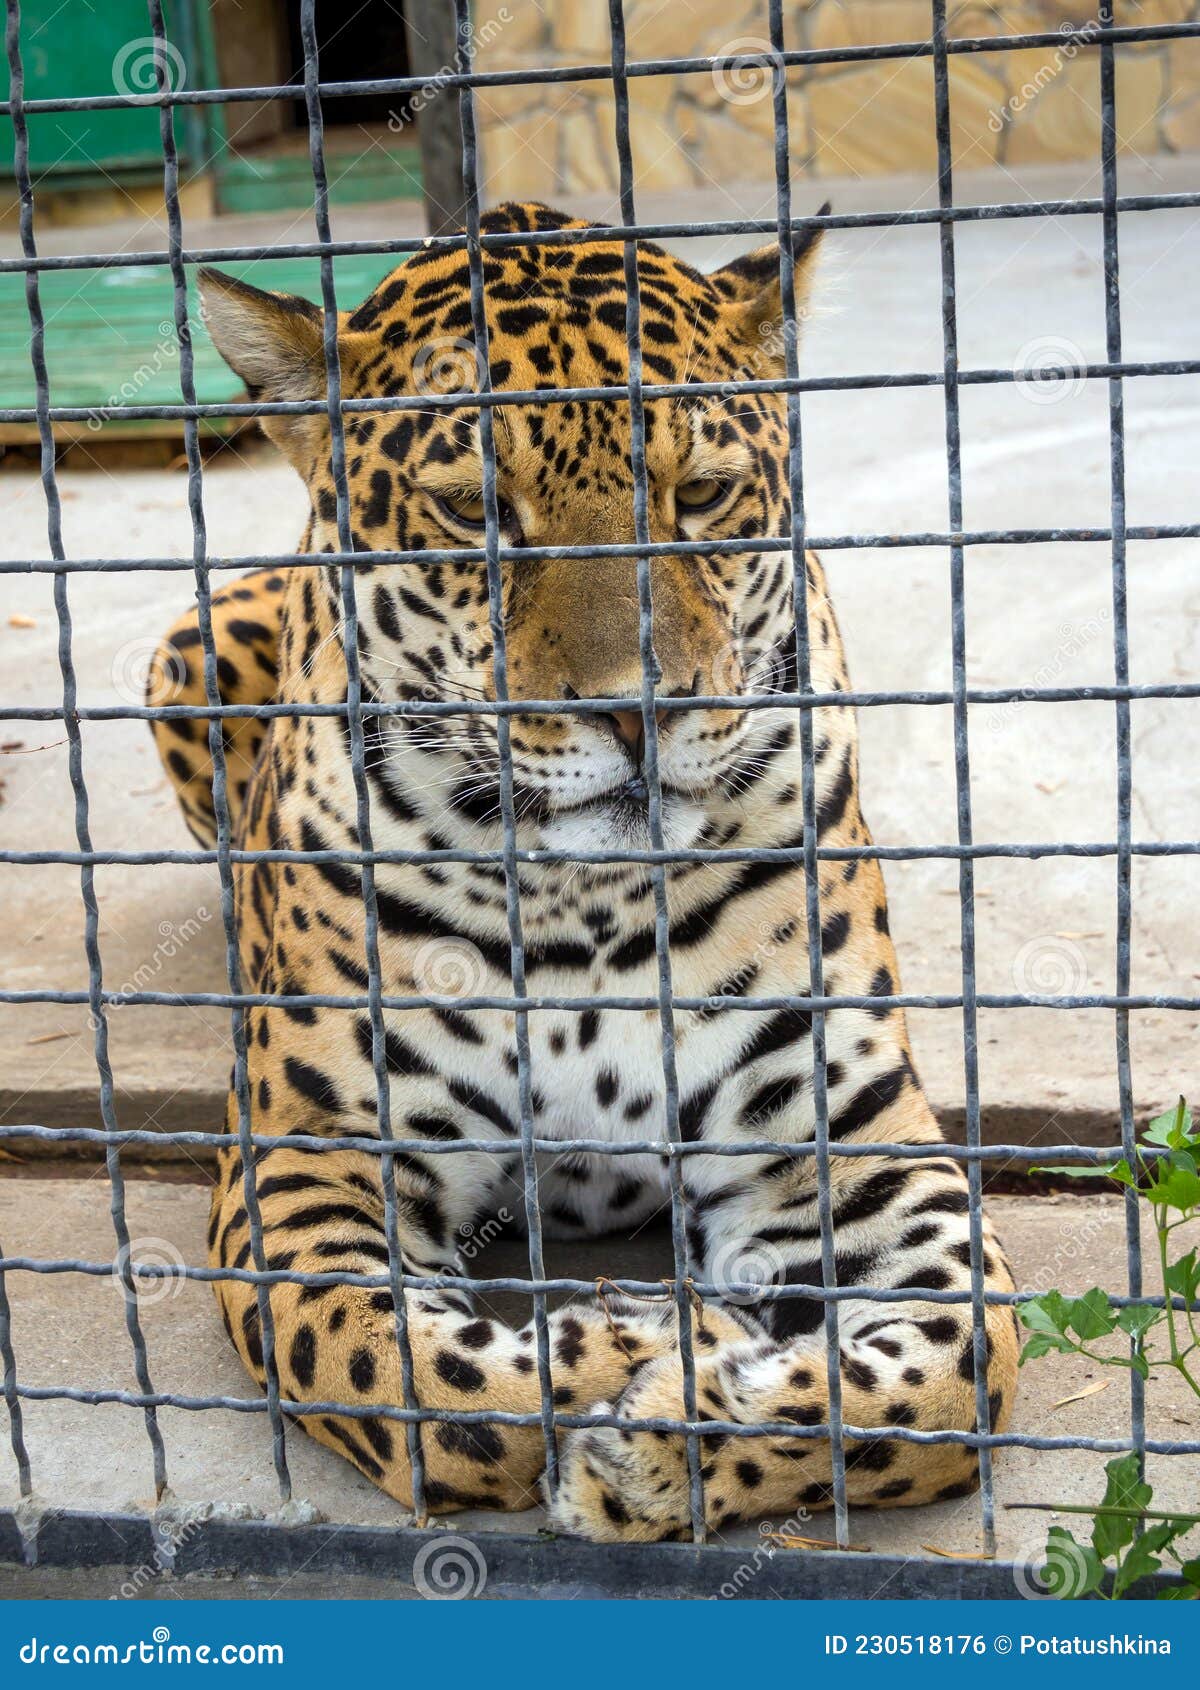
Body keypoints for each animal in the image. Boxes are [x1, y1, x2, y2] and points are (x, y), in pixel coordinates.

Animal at [149, 202, 1017, 1543]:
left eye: (701, 493)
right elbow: (388, 1367)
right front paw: (637, 1344)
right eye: (472, 510)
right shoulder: (311, 1145)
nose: (639, 710)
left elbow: (953, 1377)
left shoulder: (848, 1145)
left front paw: (671, 1435)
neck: (585, 909)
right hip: (186, 649)